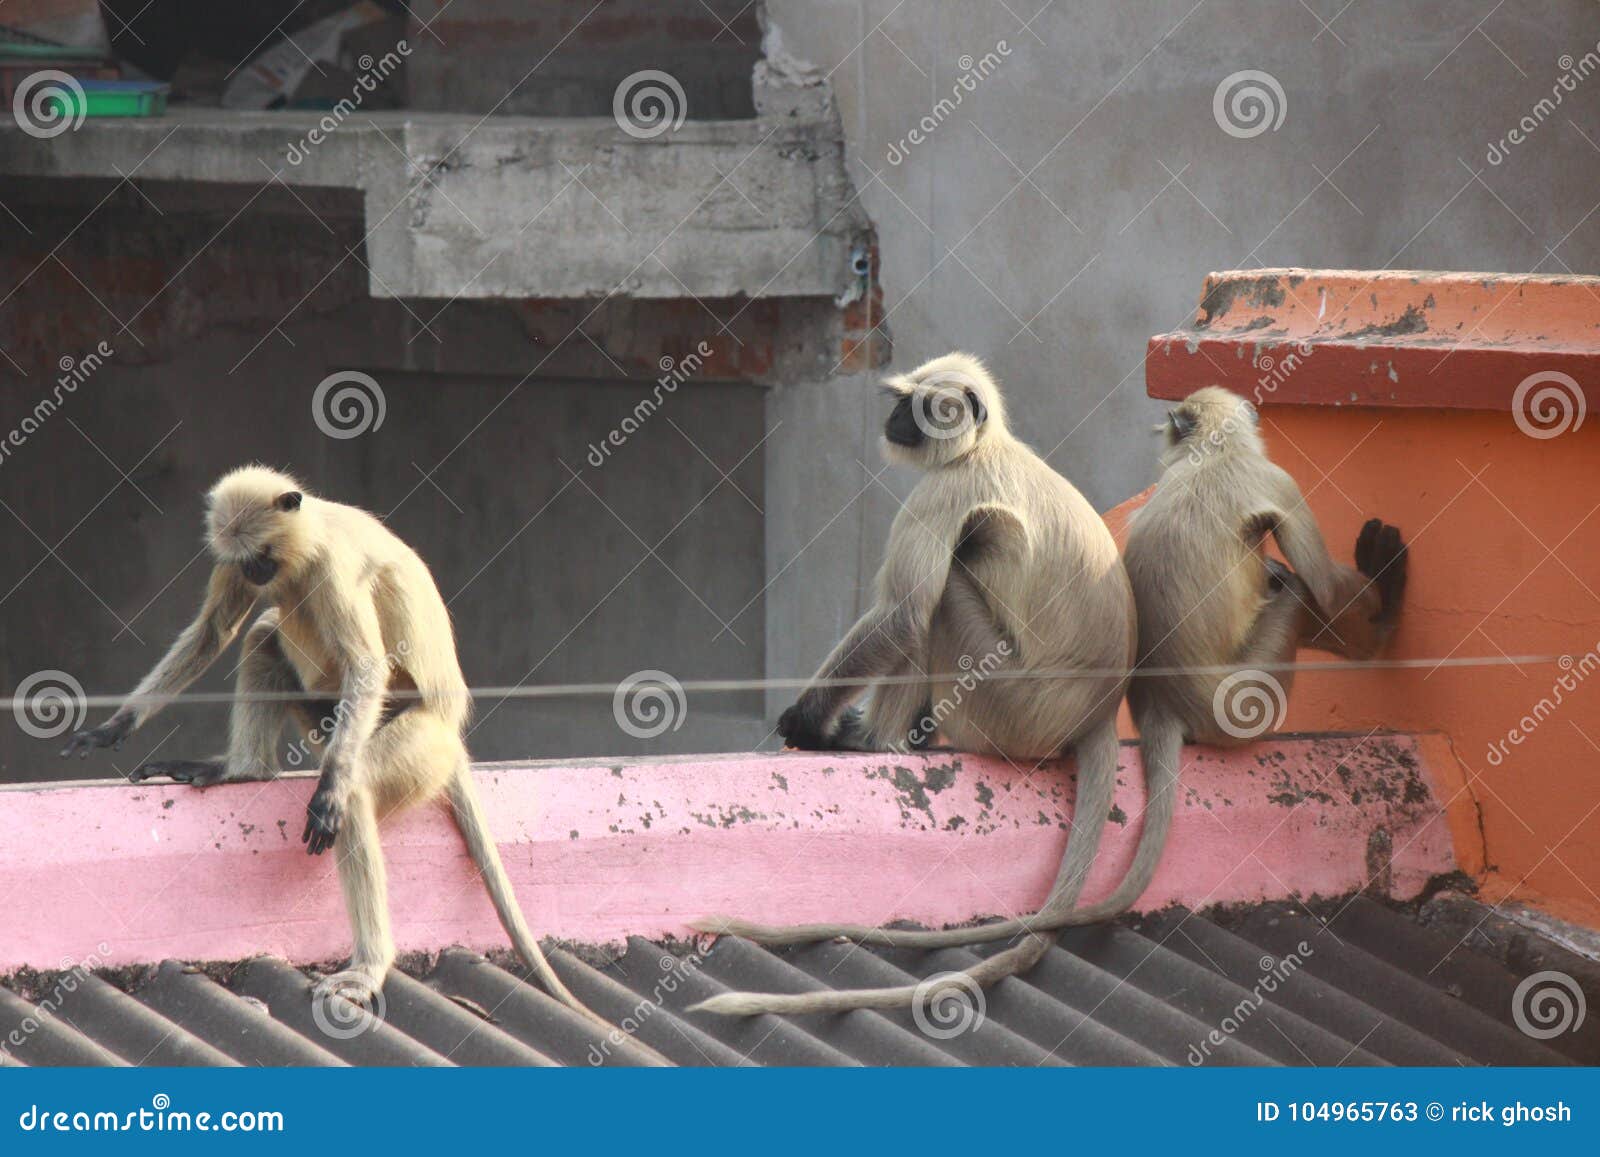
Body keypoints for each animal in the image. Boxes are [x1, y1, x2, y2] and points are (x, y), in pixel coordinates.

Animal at [61, 465, 669, 1064]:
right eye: (246, 558)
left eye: (263, 554)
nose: (256, 572)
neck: (311, 533)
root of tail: (452, 735)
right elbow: (215, 631)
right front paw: (115, 726)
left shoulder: (332, 568)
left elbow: (365, 668)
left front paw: (328, 791)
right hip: (328, 719)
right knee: (264, 632)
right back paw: (244, 770)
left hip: (413, 743)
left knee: (352, 783)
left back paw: (368, 962)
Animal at [685, 353, 1139, 1017]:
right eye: (901, 401)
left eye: (919, 405)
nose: (896, 418)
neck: (982, 448)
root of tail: (1096, 711)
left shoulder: (942, 491)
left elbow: (903, 615)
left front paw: (806, 722)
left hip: (1007, 704)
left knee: (943, 592)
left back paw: (877, 741)